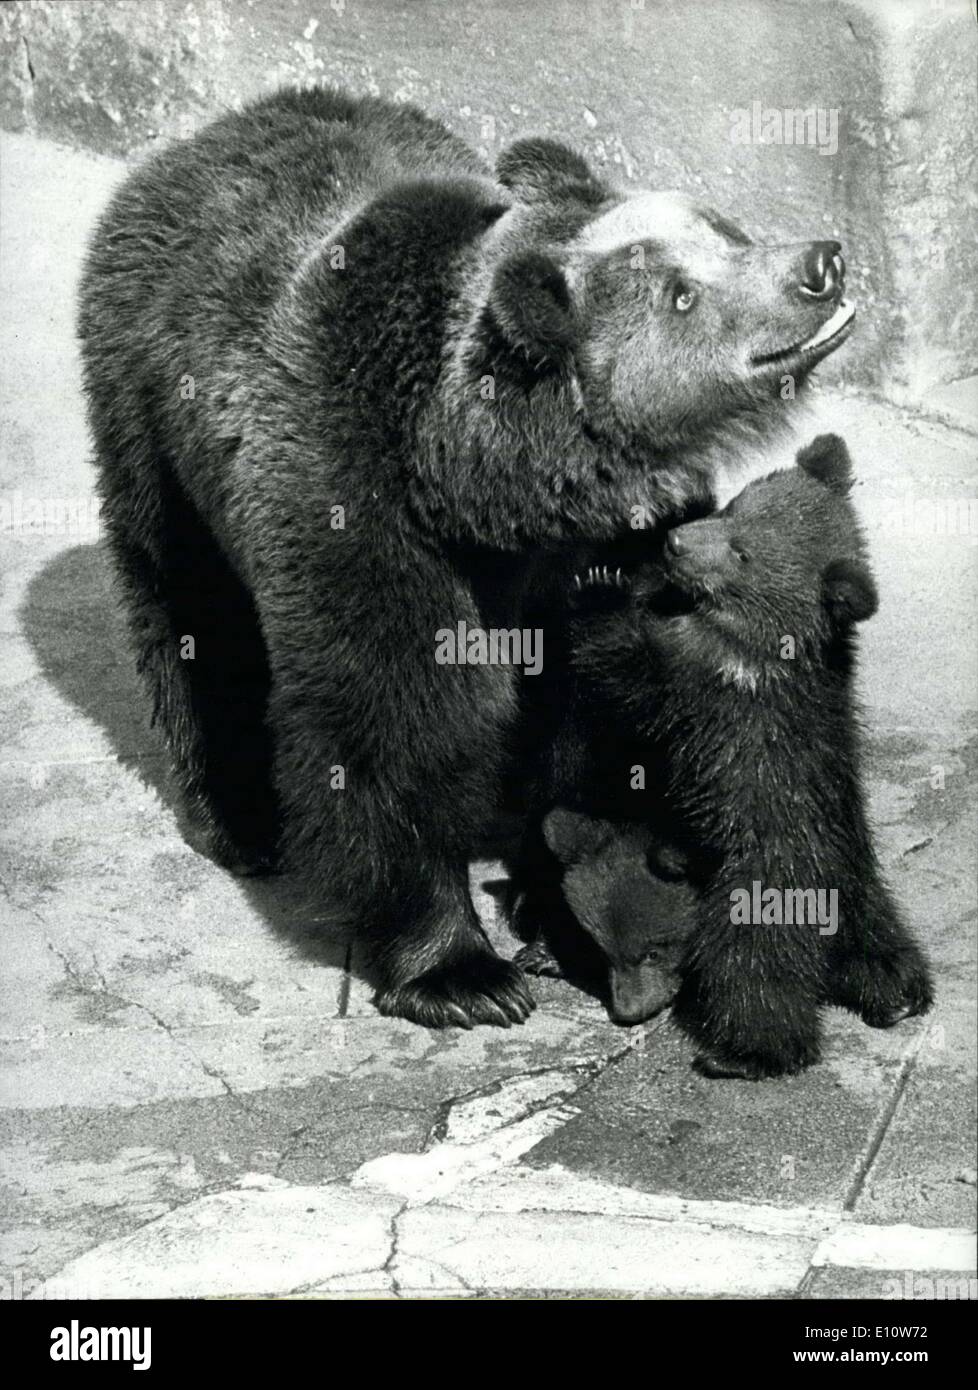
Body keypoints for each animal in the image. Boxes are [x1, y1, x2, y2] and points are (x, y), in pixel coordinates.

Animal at [537, 434, 933, 1076]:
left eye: (743, 553)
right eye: (735, 507)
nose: (676, 542)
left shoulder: (710, 689)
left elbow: (631, 669)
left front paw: (597, 588)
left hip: (755, 895)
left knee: (750, 977)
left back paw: (742, 1054)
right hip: (860, 878)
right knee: (881, 942)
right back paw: (899, 992)